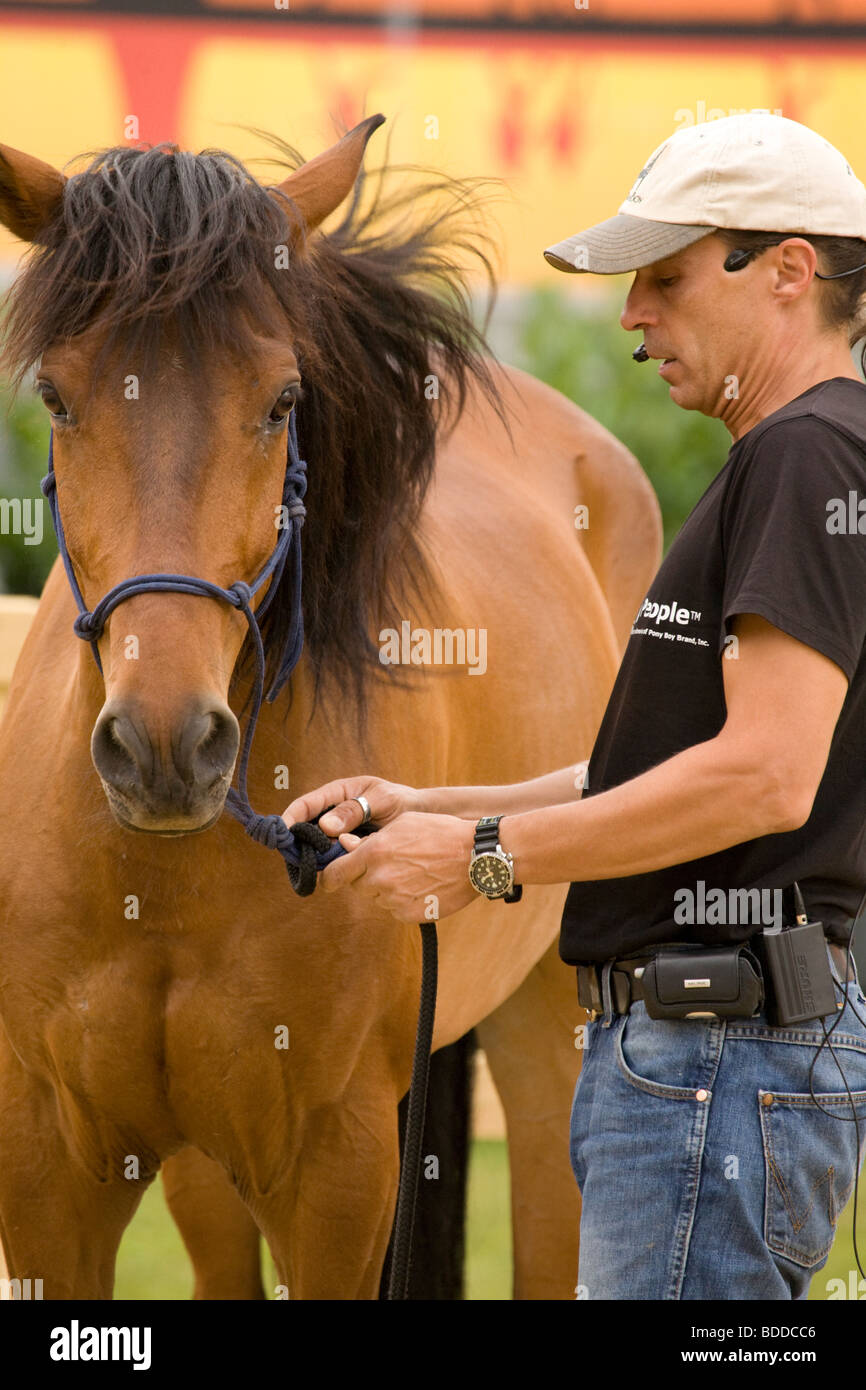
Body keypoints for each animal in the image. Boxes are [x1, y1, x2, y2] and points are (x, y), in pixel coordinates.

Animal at [0, 115, 661, 1299]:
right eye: (57, 398)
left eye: (281, 401)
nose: (165, 748)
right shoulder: (46, 1174)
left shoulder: (335, 1174)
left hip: (549, 1039)